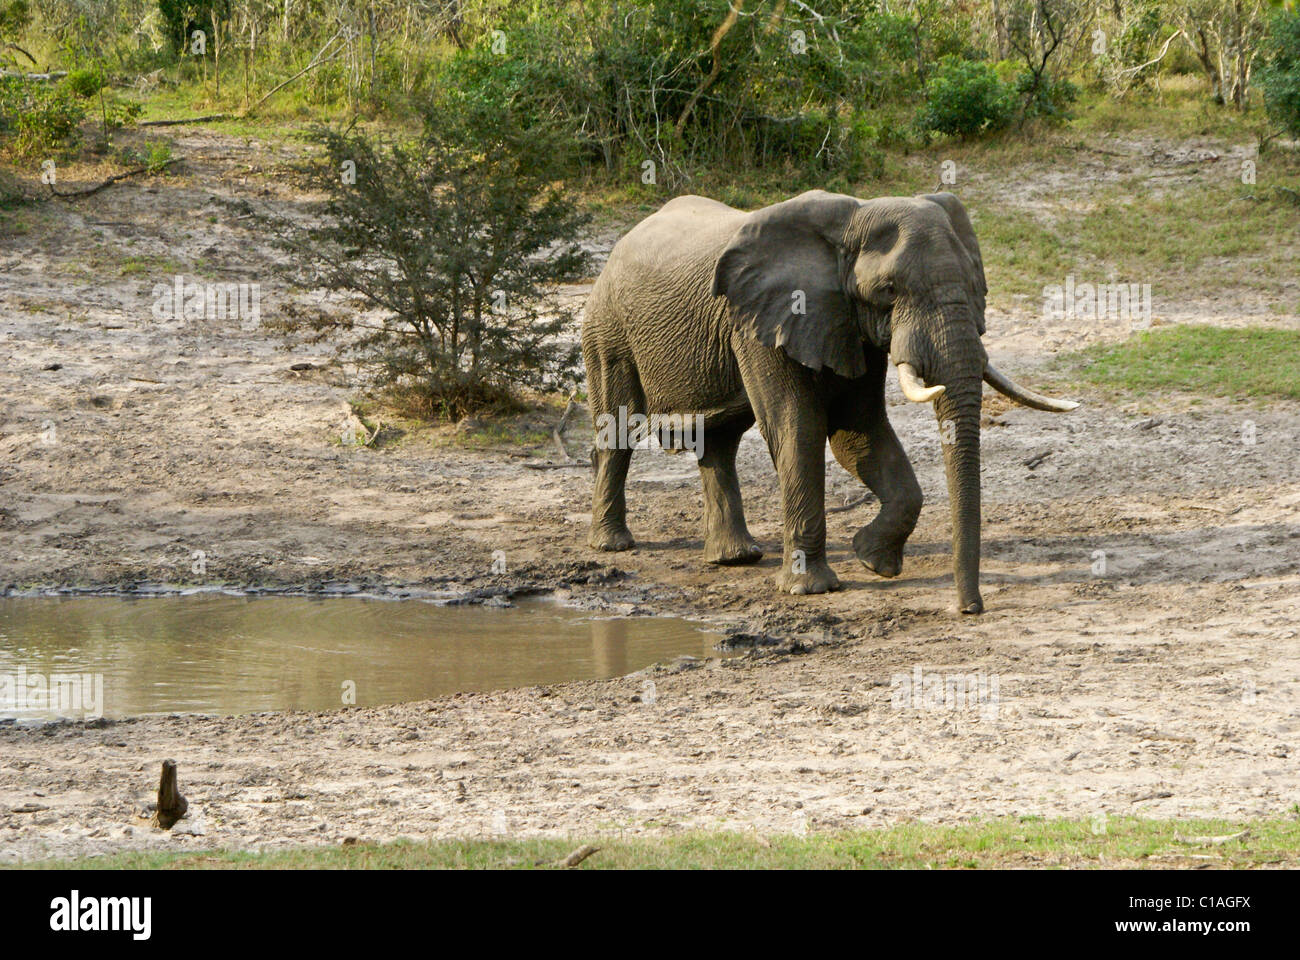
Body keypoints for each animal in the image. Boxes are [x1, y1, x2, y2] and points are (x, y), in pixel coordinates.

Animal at [580, 190, 1077, 614]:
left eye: (976, 285)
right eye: (889, 290)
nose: (969, 609)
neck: (853, 218)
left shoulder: (851, 328)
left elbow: (859, 433)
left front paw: (874, 561)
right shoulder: (763, 322)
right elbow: (797, 428)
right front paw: (812, 589)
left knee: (719, 440)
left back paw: (735, 558)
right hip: (607, 327)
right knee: (617, 431)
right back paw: (613, 544)